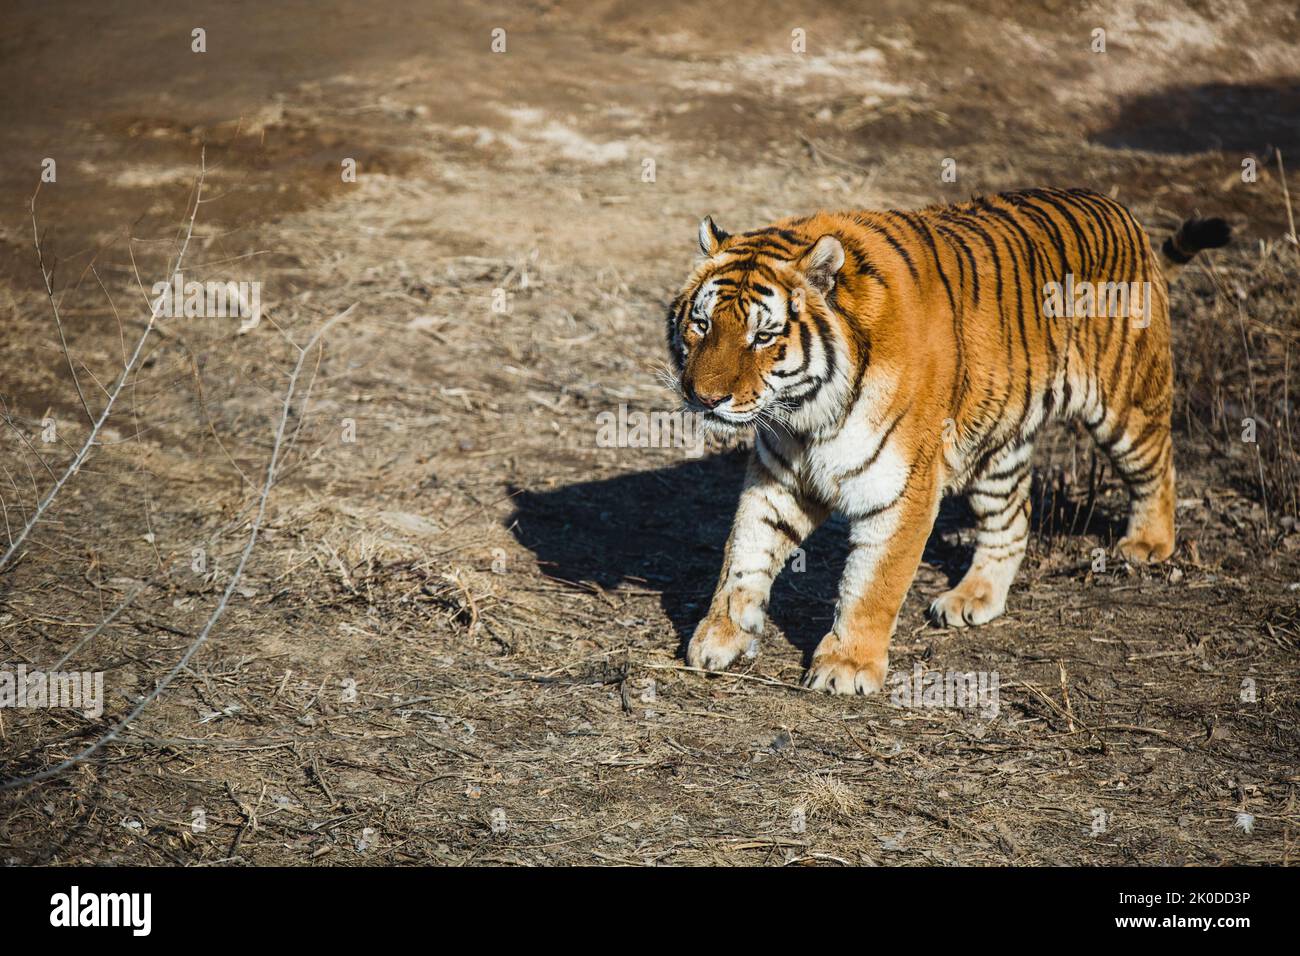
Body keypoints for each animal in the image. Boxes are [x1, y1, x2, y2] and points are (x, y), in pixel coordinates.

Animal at [665, 187, 1230, 695]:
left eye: (763, 336)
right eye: (702, 323)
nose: (705, 397)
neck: (807, 414)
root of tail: (1124, 215)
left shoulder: (902, 489)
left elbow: (873, 584)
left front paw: (846, 666)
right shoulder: (778, 480)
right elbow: (743, 557)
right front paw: (719, 638)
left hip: (1124, 404)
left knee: (1159, 464)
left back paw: (1148, 544)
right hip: (997, 449)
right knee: (1012, 521)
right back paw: (972, 598)